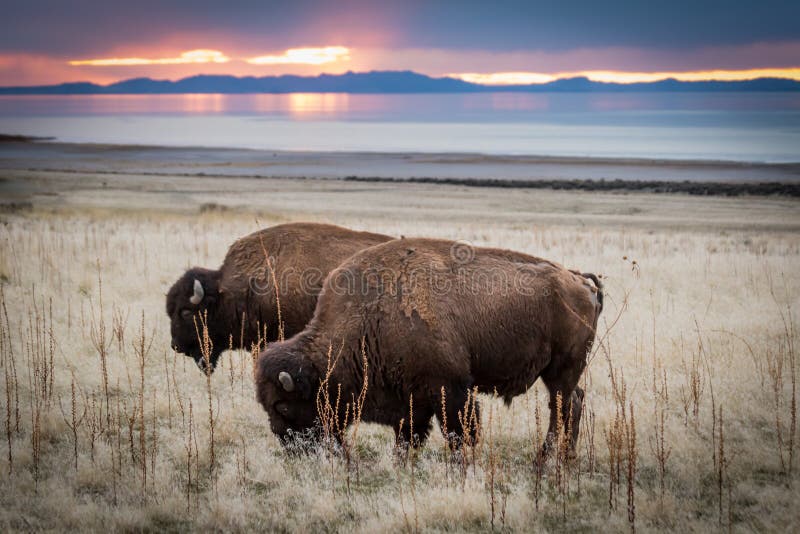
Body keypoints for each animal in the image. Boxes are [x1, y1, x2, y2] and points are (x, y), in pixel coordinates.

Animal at [256, 238, 603, 454]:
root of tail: (580, 281)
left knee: (563, 408)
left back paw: (544, 460)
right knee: (574, 402)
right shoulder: (411, 403)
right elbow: (407, 440)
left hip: (562, 370)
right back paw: (566, 459)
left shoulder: (450, 390)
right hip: (559, 373)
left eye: (282, 406)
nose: (291, 447)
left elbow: (461, 434)